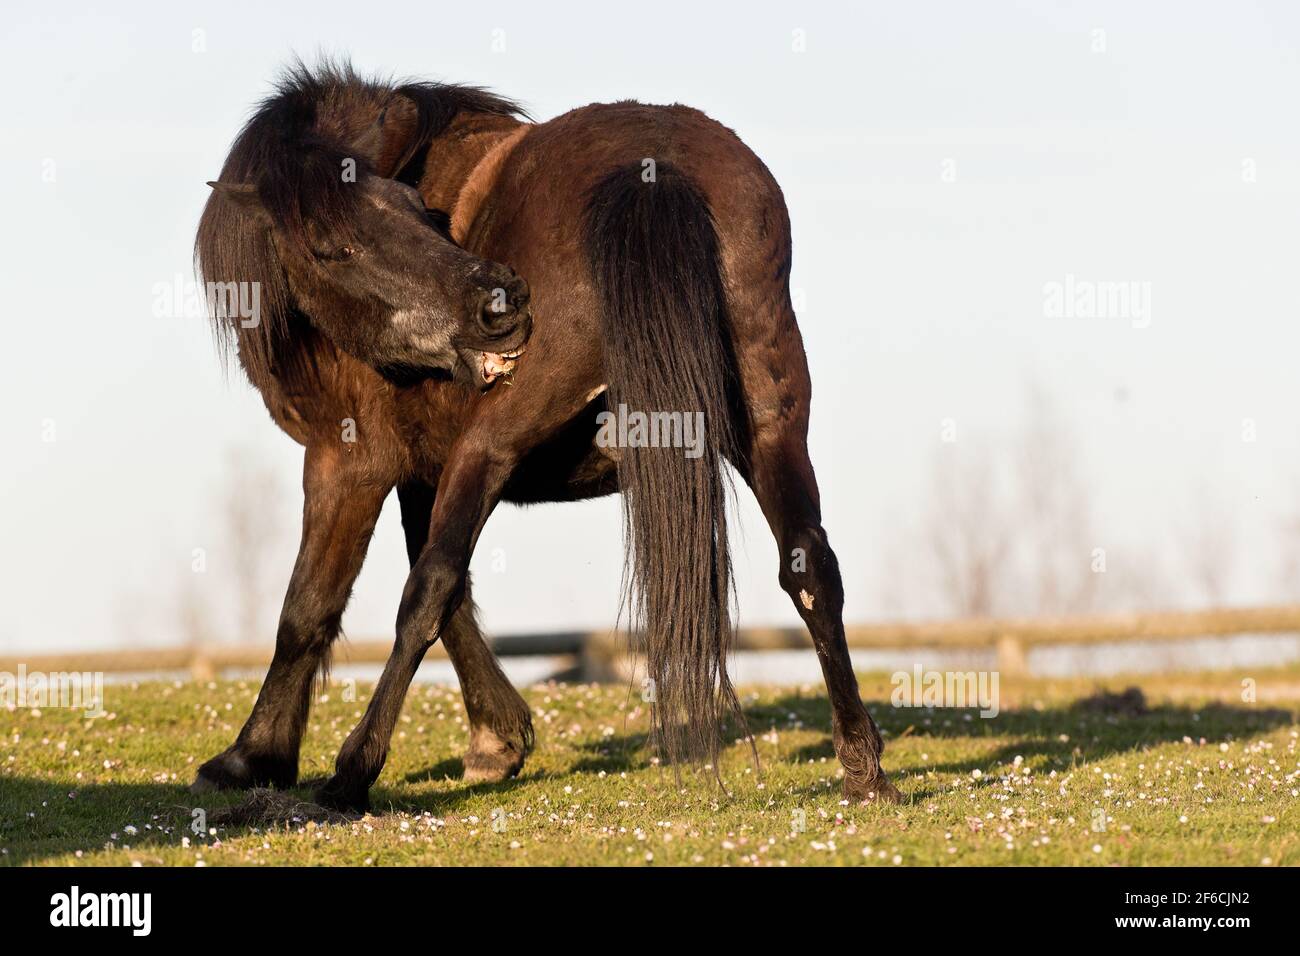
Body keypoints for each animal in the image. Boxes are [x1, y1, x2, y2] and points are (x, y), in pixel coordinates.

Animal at [194, 60, 899, 812]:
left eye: (418, 213)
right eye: (332, 249)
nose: (496, 302)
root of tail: (654, 170)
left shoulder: (350, 460)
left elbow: (314, 607)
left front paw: (251, 755)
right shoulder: (422, 472)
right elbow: (448, 596)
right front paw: (497, 737)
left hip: (496, 437)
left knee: (426, 589)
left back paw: (352, 774)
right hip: (769, 425)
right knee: (811, 566)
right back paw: (864, 769)